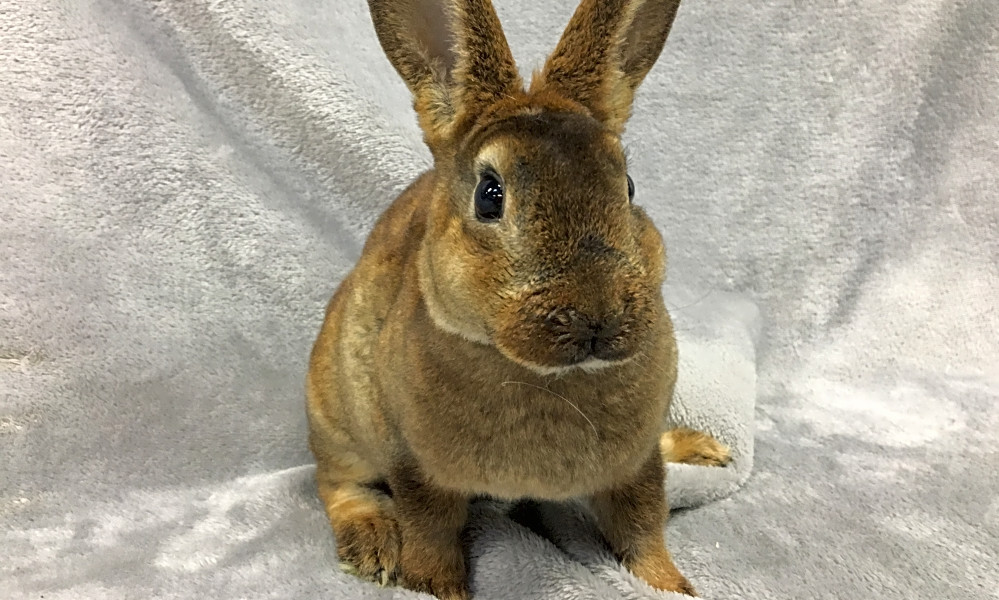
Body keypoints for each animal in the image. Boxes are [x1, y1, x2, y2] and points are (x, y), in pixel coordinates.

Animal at [305, 0, 731, 598]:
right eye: (490, 196)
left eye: (627, 187)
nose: (597, 320)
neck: (547, 379)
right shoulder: (417, 466)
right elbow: (431, 535)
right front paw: (437, 588)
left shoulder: (634, 465)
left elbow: (642, 528)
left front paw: (673, 586)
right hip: (336, 417)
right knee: (335, 482)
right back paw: (371, 543)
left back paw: (705, 449)